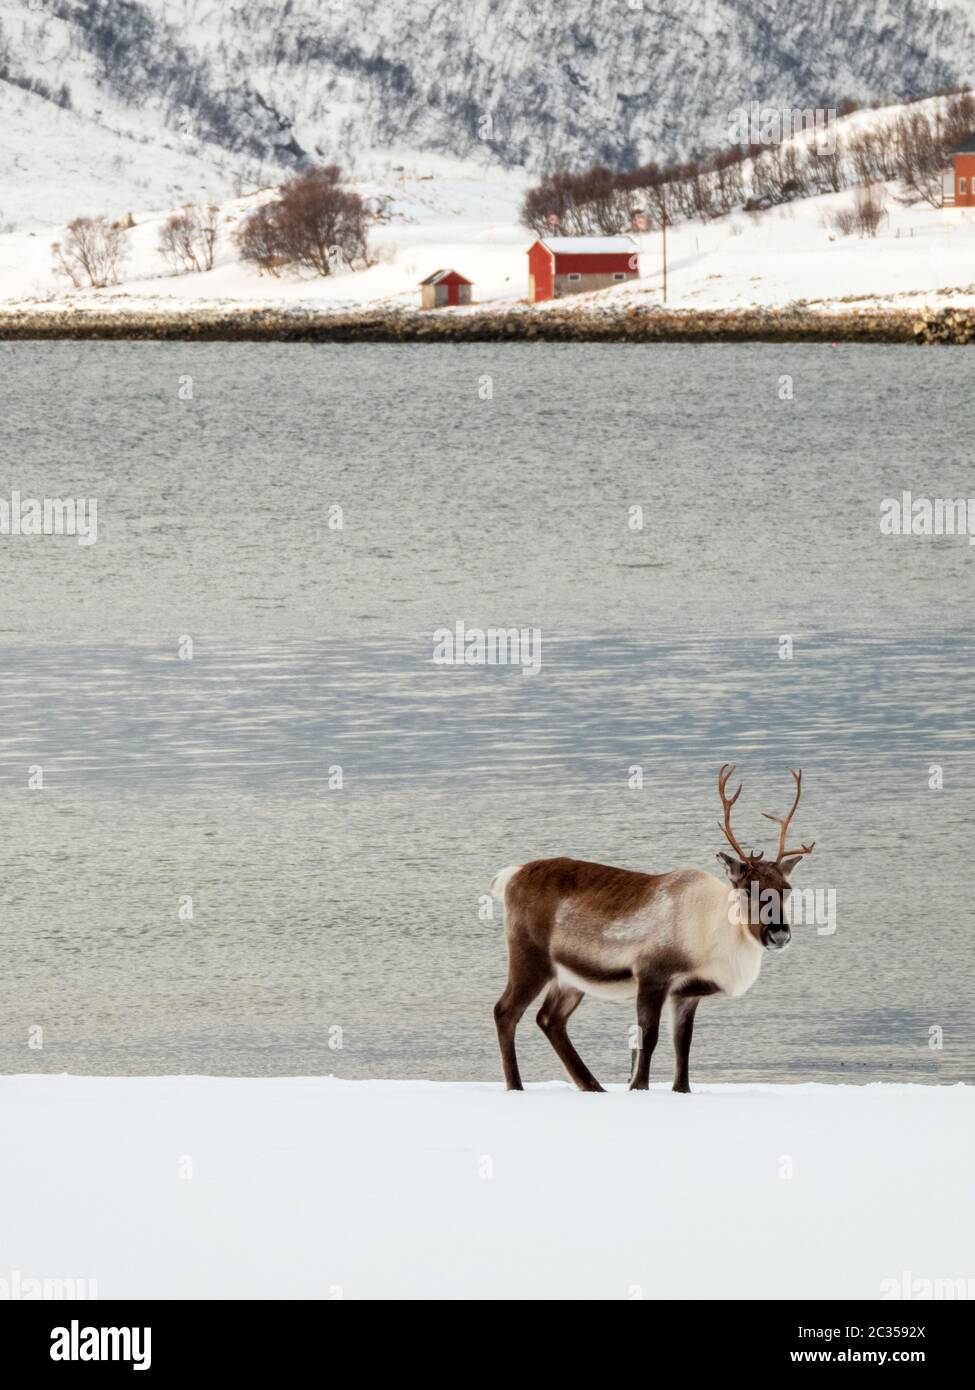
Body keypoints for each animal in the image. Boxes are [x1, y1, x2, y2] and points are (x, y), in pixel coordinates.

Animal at [491, 766, 815, 1093]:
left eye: (787, 889)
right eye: (748, 889)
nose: (779, 934)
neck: (713, 936)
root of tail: (510, 876)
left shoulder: (687, 993)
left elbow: (682, 1045)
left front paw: (681, 1089)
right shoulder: (651, 975)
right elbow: (648, 1038)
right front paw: (638, 1087)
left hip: (568, 978)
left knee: (550, 1019)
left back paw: (593, 1086)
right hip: (529, 958)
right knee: (506, 1011)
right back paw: (516, 1085)